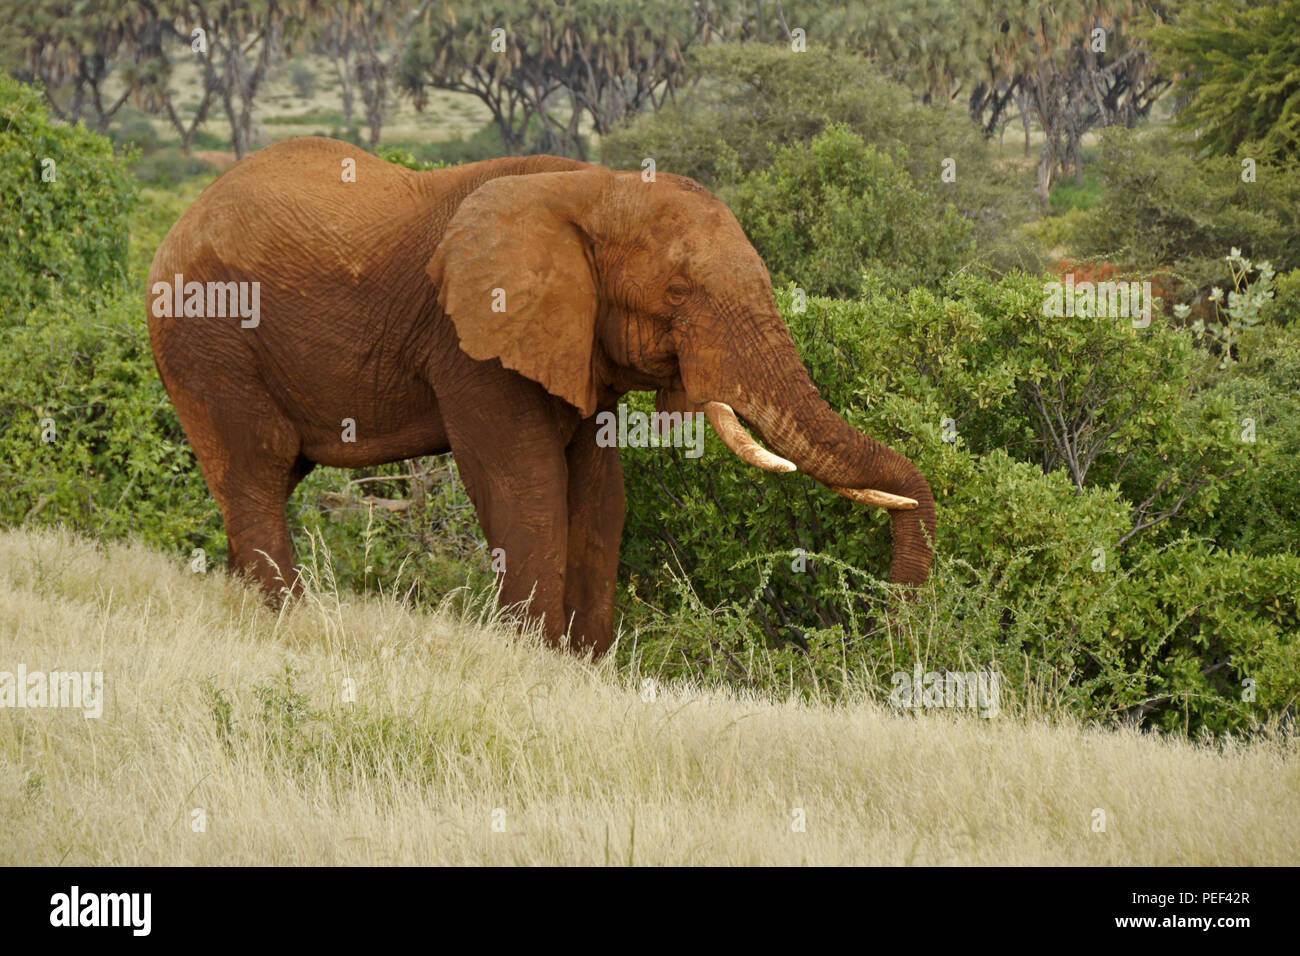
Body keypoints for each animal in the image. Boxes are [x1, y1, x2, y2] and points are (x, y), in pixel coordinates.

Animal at [147, 137, 935, 655]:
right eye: (678, 294)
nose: (891, 635)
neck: (593, 187)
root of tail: (179, 222)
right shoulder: (471, 339)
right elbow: (525, 483)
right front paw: (531, 657)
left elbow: (600, 490)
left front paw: (584, 663)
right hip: (206, 338)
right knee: (257, 471)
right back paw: (287, 624)